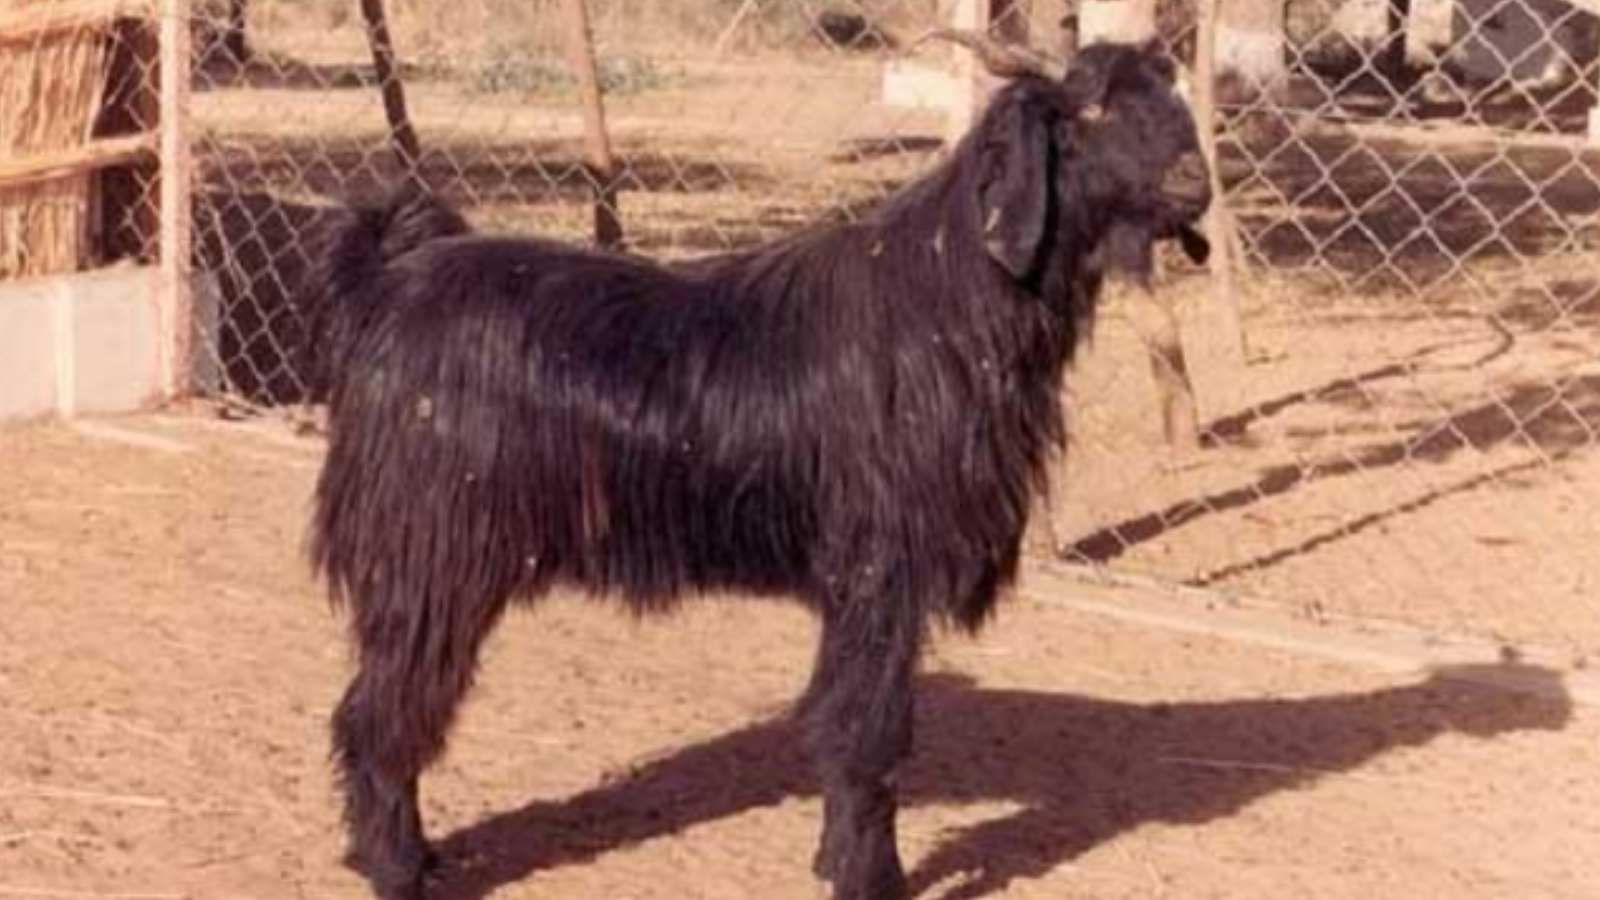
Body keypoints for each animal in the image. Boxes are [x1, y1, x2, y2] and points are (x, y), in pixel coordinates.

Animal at [310, 36, 1212, 900]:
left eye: (1171, 94)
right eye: (1089, 111)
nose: (1195, 183)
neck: (949, 298)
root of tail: (384, 286)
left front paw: (833, 861)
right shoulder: (881, 570)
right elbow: (867, 731)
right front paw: (870, 879)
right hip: (432, 555)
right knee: (382, 712)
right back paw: (396, 869)